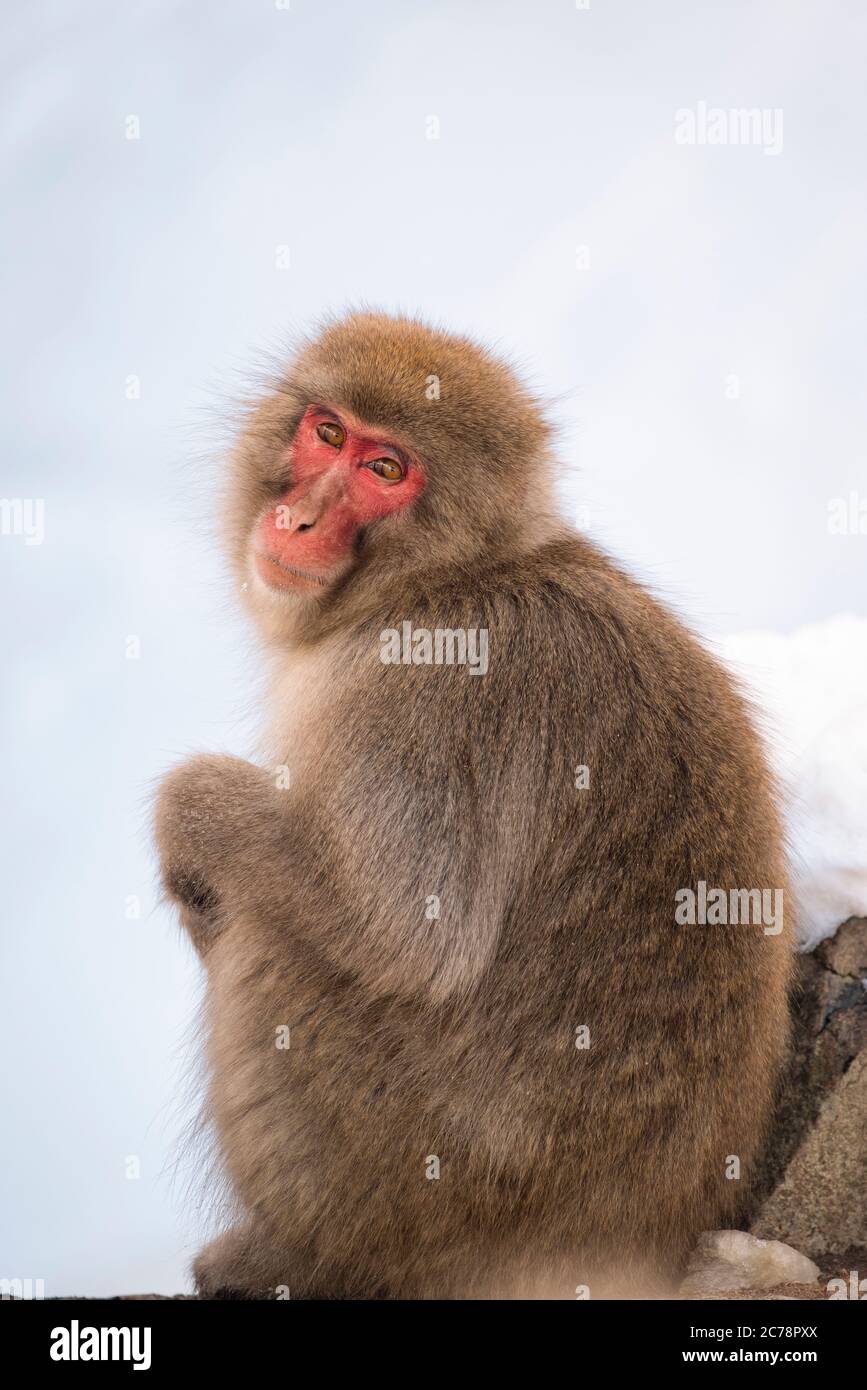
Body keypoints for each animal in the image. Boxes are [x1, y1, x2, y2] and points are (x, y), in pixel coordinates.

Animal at [154, 310, 792, 1299]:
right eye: (327, 433)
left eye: (386, 470)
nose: (297, 518)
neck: (441, 581)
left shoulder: (428, 696)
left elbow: (406, 934)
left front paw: (188, 813)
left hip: (422, 1182)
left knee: (270, 947)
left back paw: (293, 1258)